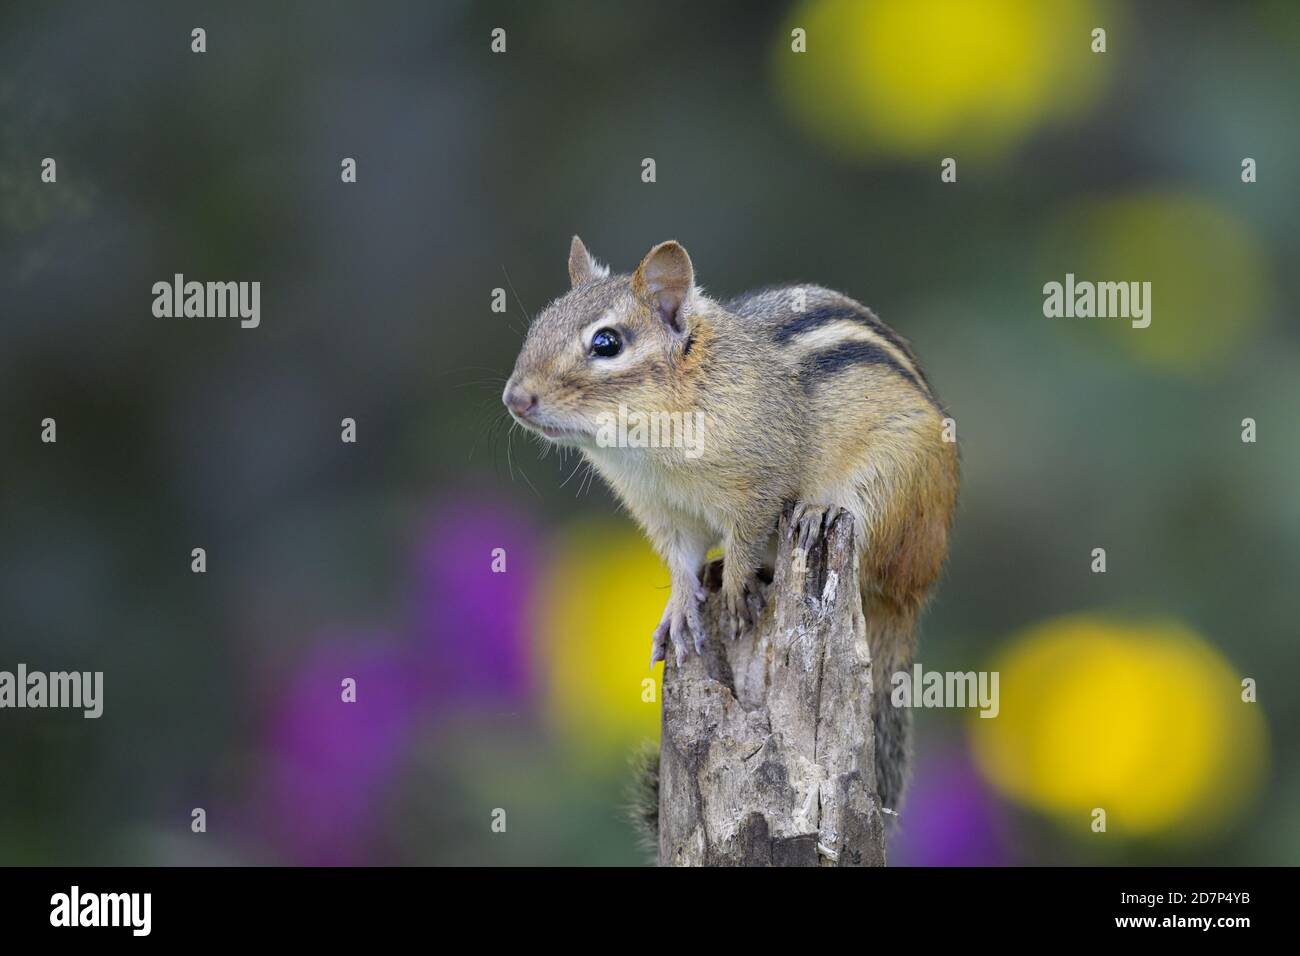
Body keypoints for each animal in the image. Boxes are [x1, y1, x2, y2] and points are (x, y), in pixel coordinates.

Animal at [503, 236, 959, 815]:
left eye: (606, 343)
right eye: (538, 325)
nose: (515, 399)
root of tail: (915, 593)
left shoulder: (758, 486)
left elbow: (748, 532)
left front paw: (740, 583)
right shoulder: (664, 513)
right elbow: (680, 562)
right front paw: (680, 609)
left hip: (890, 491)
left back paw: (812, 521)